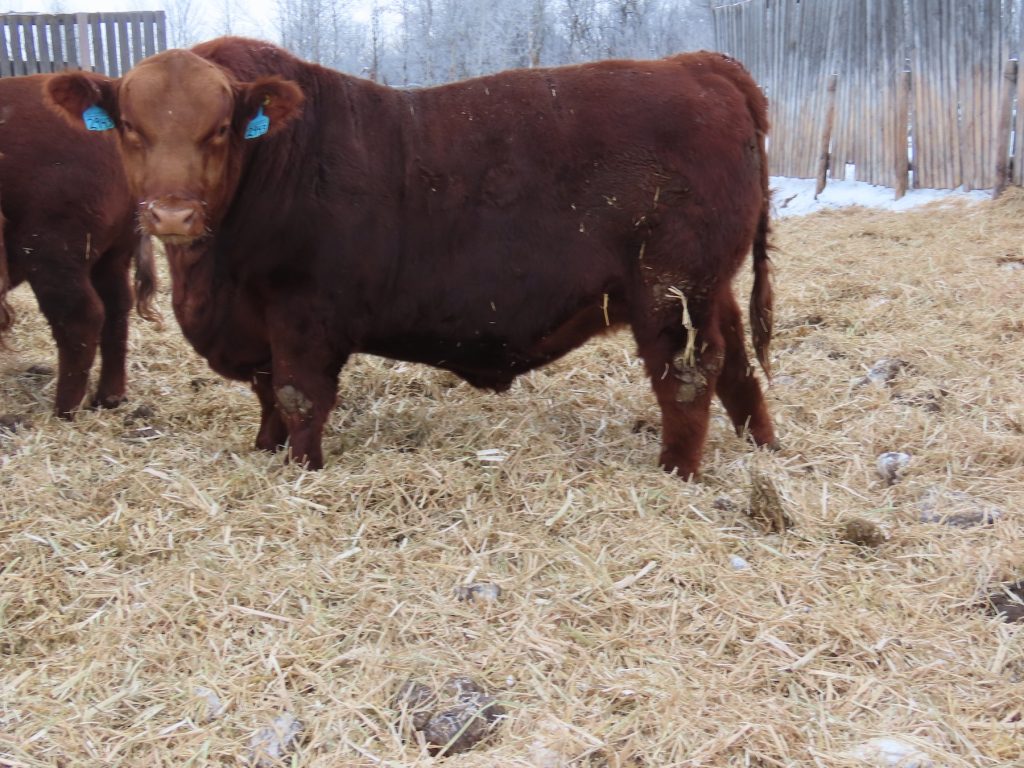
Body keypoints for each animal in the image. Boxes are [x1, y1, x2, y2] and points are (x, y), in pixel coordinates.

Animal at [0, 75, 157, 417]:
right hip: (113, 253)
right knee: (116, 308)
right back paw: (108, 397)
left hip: (52, 249)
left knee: (81, 317)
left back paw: (64, 410)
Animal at [45, 37, 777, 476]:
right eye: (129, 127)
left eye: (221, 128)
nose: (171, 213)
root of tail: (697, 64)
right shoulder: (256, 323)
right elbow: (266, 394)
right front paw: (264, 450)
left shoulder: (303, 311)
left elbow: (298, 395)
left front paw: (301, 469)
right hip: (711, 284)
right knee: (740, 363)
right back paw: (763, 446)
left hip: (670, 288)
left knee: (688, 374)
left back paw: (677, 470)